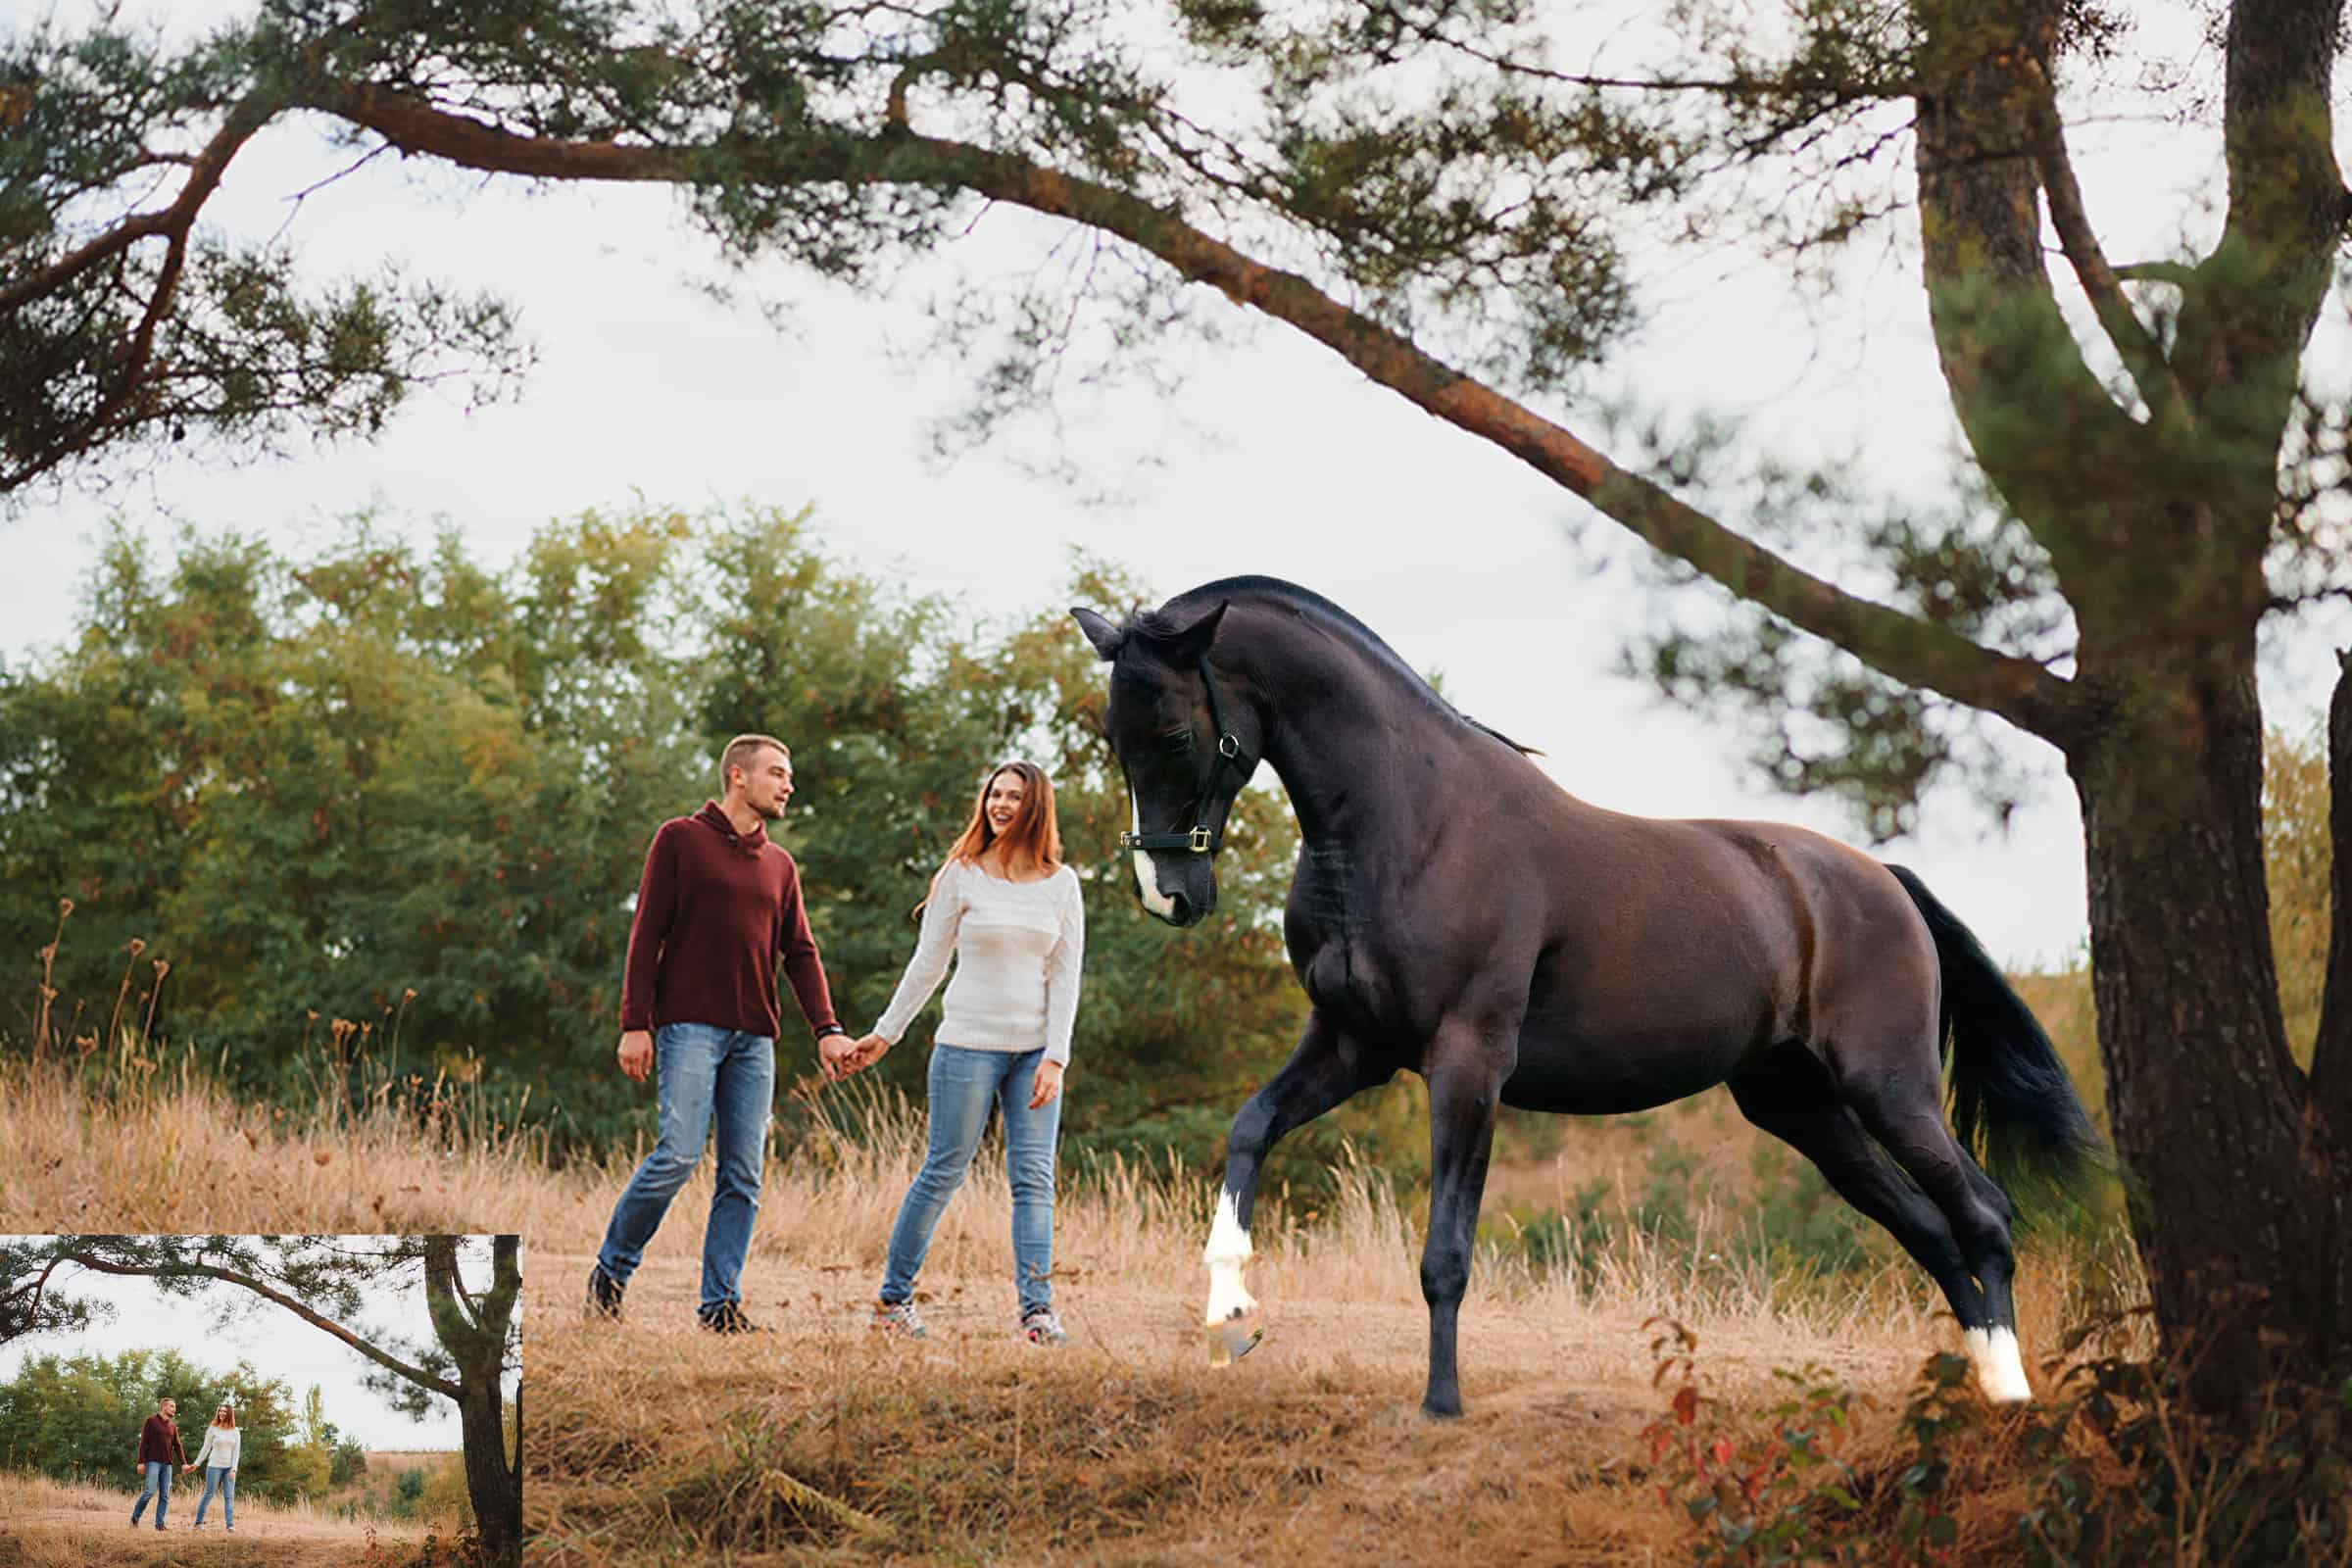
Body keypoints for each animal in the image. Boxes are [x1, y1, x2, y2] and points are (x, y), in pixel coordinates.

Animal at [1072, 576, 2101, 1418]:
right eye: (1113, 738)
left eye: (1173, 732)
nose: (1169, 895)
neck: (1413, 826)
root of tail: (1884, 881)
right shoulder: (1350, 1046)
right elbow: (1250, 1129)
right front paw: (1231, 1314)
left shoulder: (1468, 1062)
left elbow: (1446, 1251)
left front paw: (1441, 1403)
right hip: (1803, 1108)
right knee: (1931, 1229)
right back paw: (1983, 1386)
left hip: (1890, 1088)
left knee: (1982, 1214)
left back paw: (2013, 1395)